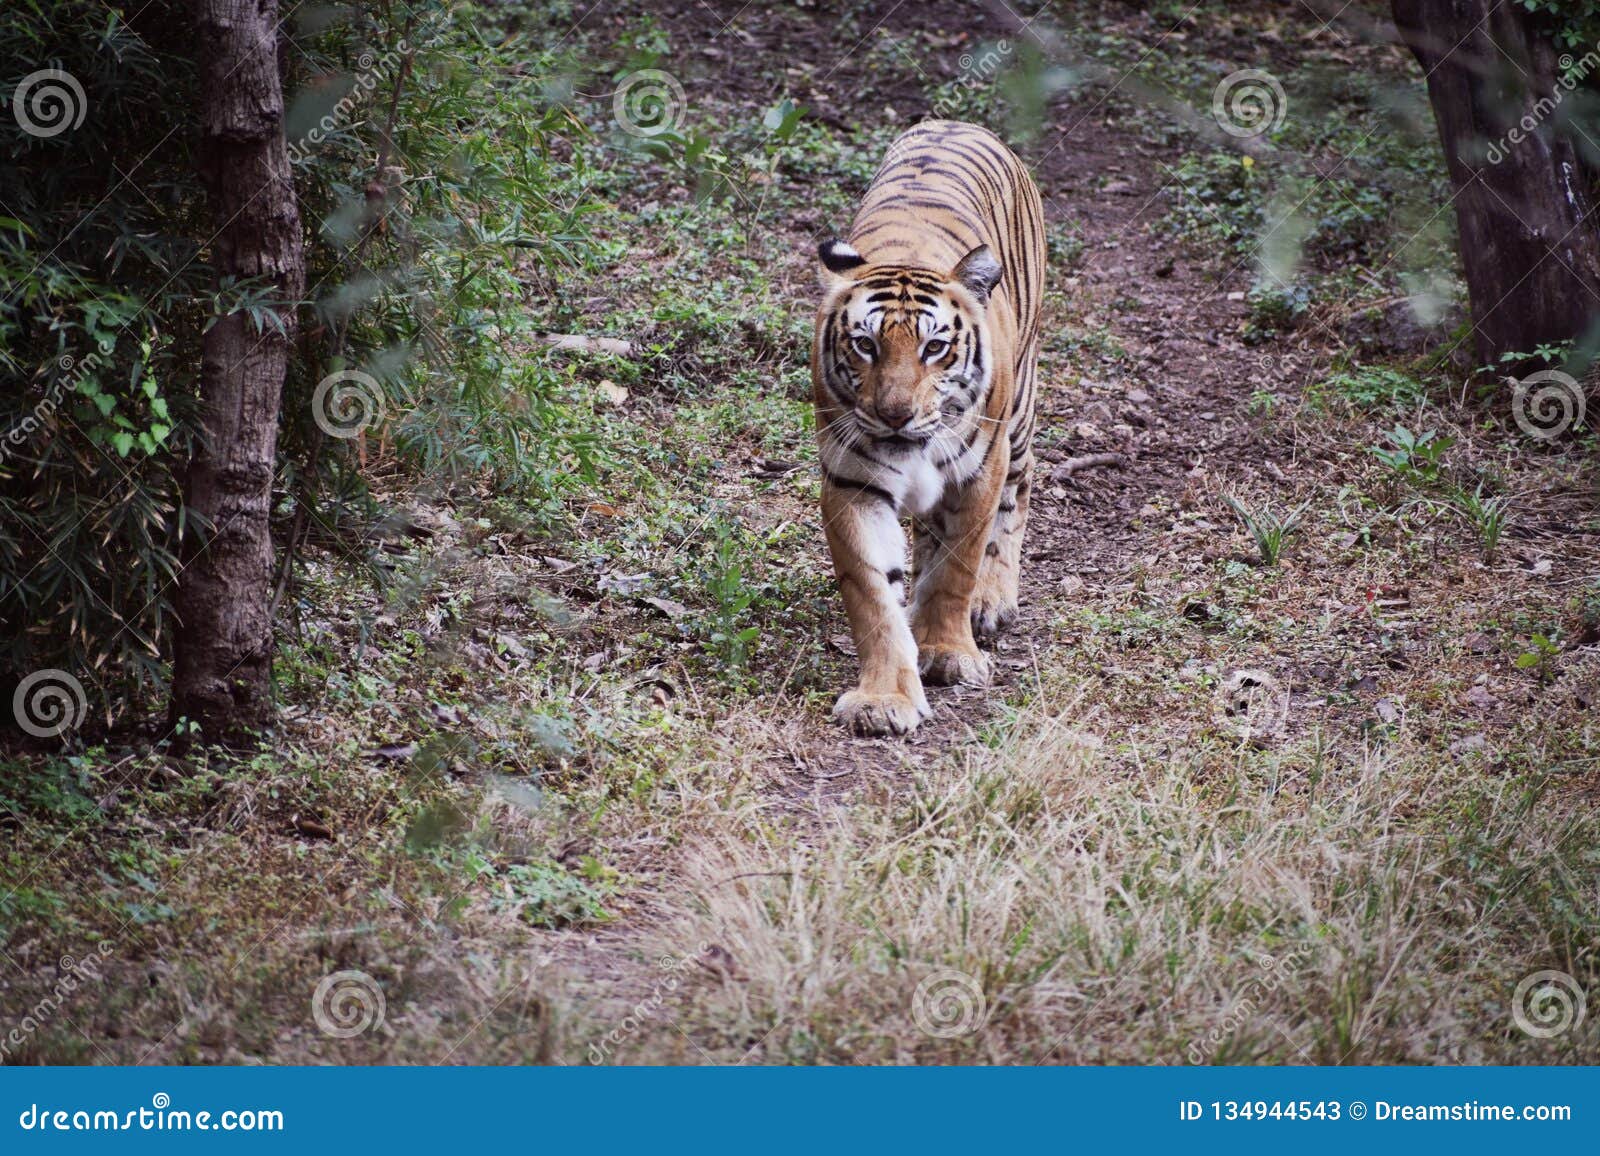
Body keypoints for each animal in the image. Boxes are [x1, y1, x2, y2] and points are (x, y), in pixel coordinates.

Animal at [812, 120, 1045, 737]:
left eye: (934, 348)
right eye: (865, 345)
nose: (895, 414)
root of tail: (954, 122)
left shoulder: (977, 473)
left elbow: (956, 568)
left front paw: (947, 652)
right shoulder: (852, 483)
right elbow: (872, 595)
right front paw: (883, 699)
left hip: (1018, 417)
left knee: (1018, 494)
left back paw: (992, 602)